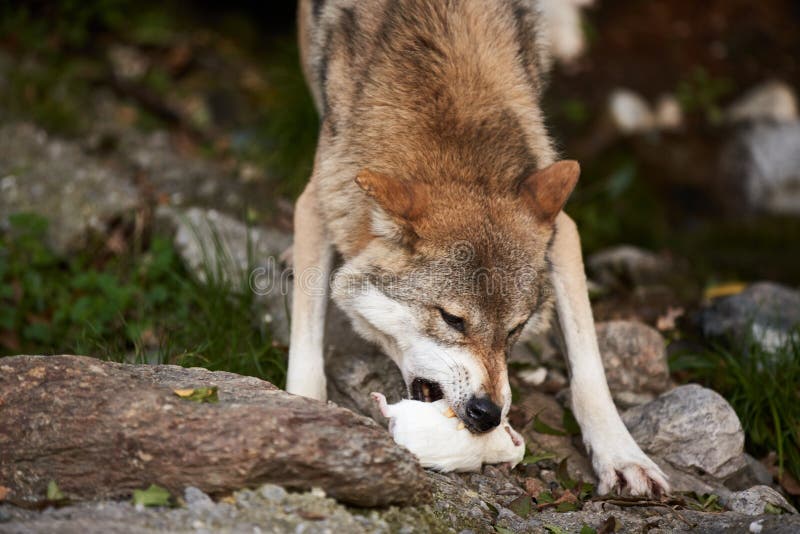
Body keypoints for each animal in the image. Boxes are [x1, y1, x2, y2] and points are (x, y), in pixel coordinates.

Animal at [287, 0, 668, 496]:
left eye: (515, 330)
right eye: (453, 319)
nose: (488, 415)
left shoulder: (563, 229)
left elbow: (590, 366)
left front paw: (623, 458)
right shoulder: (317, 201)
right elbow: (306, 342)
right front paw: (302, 411)